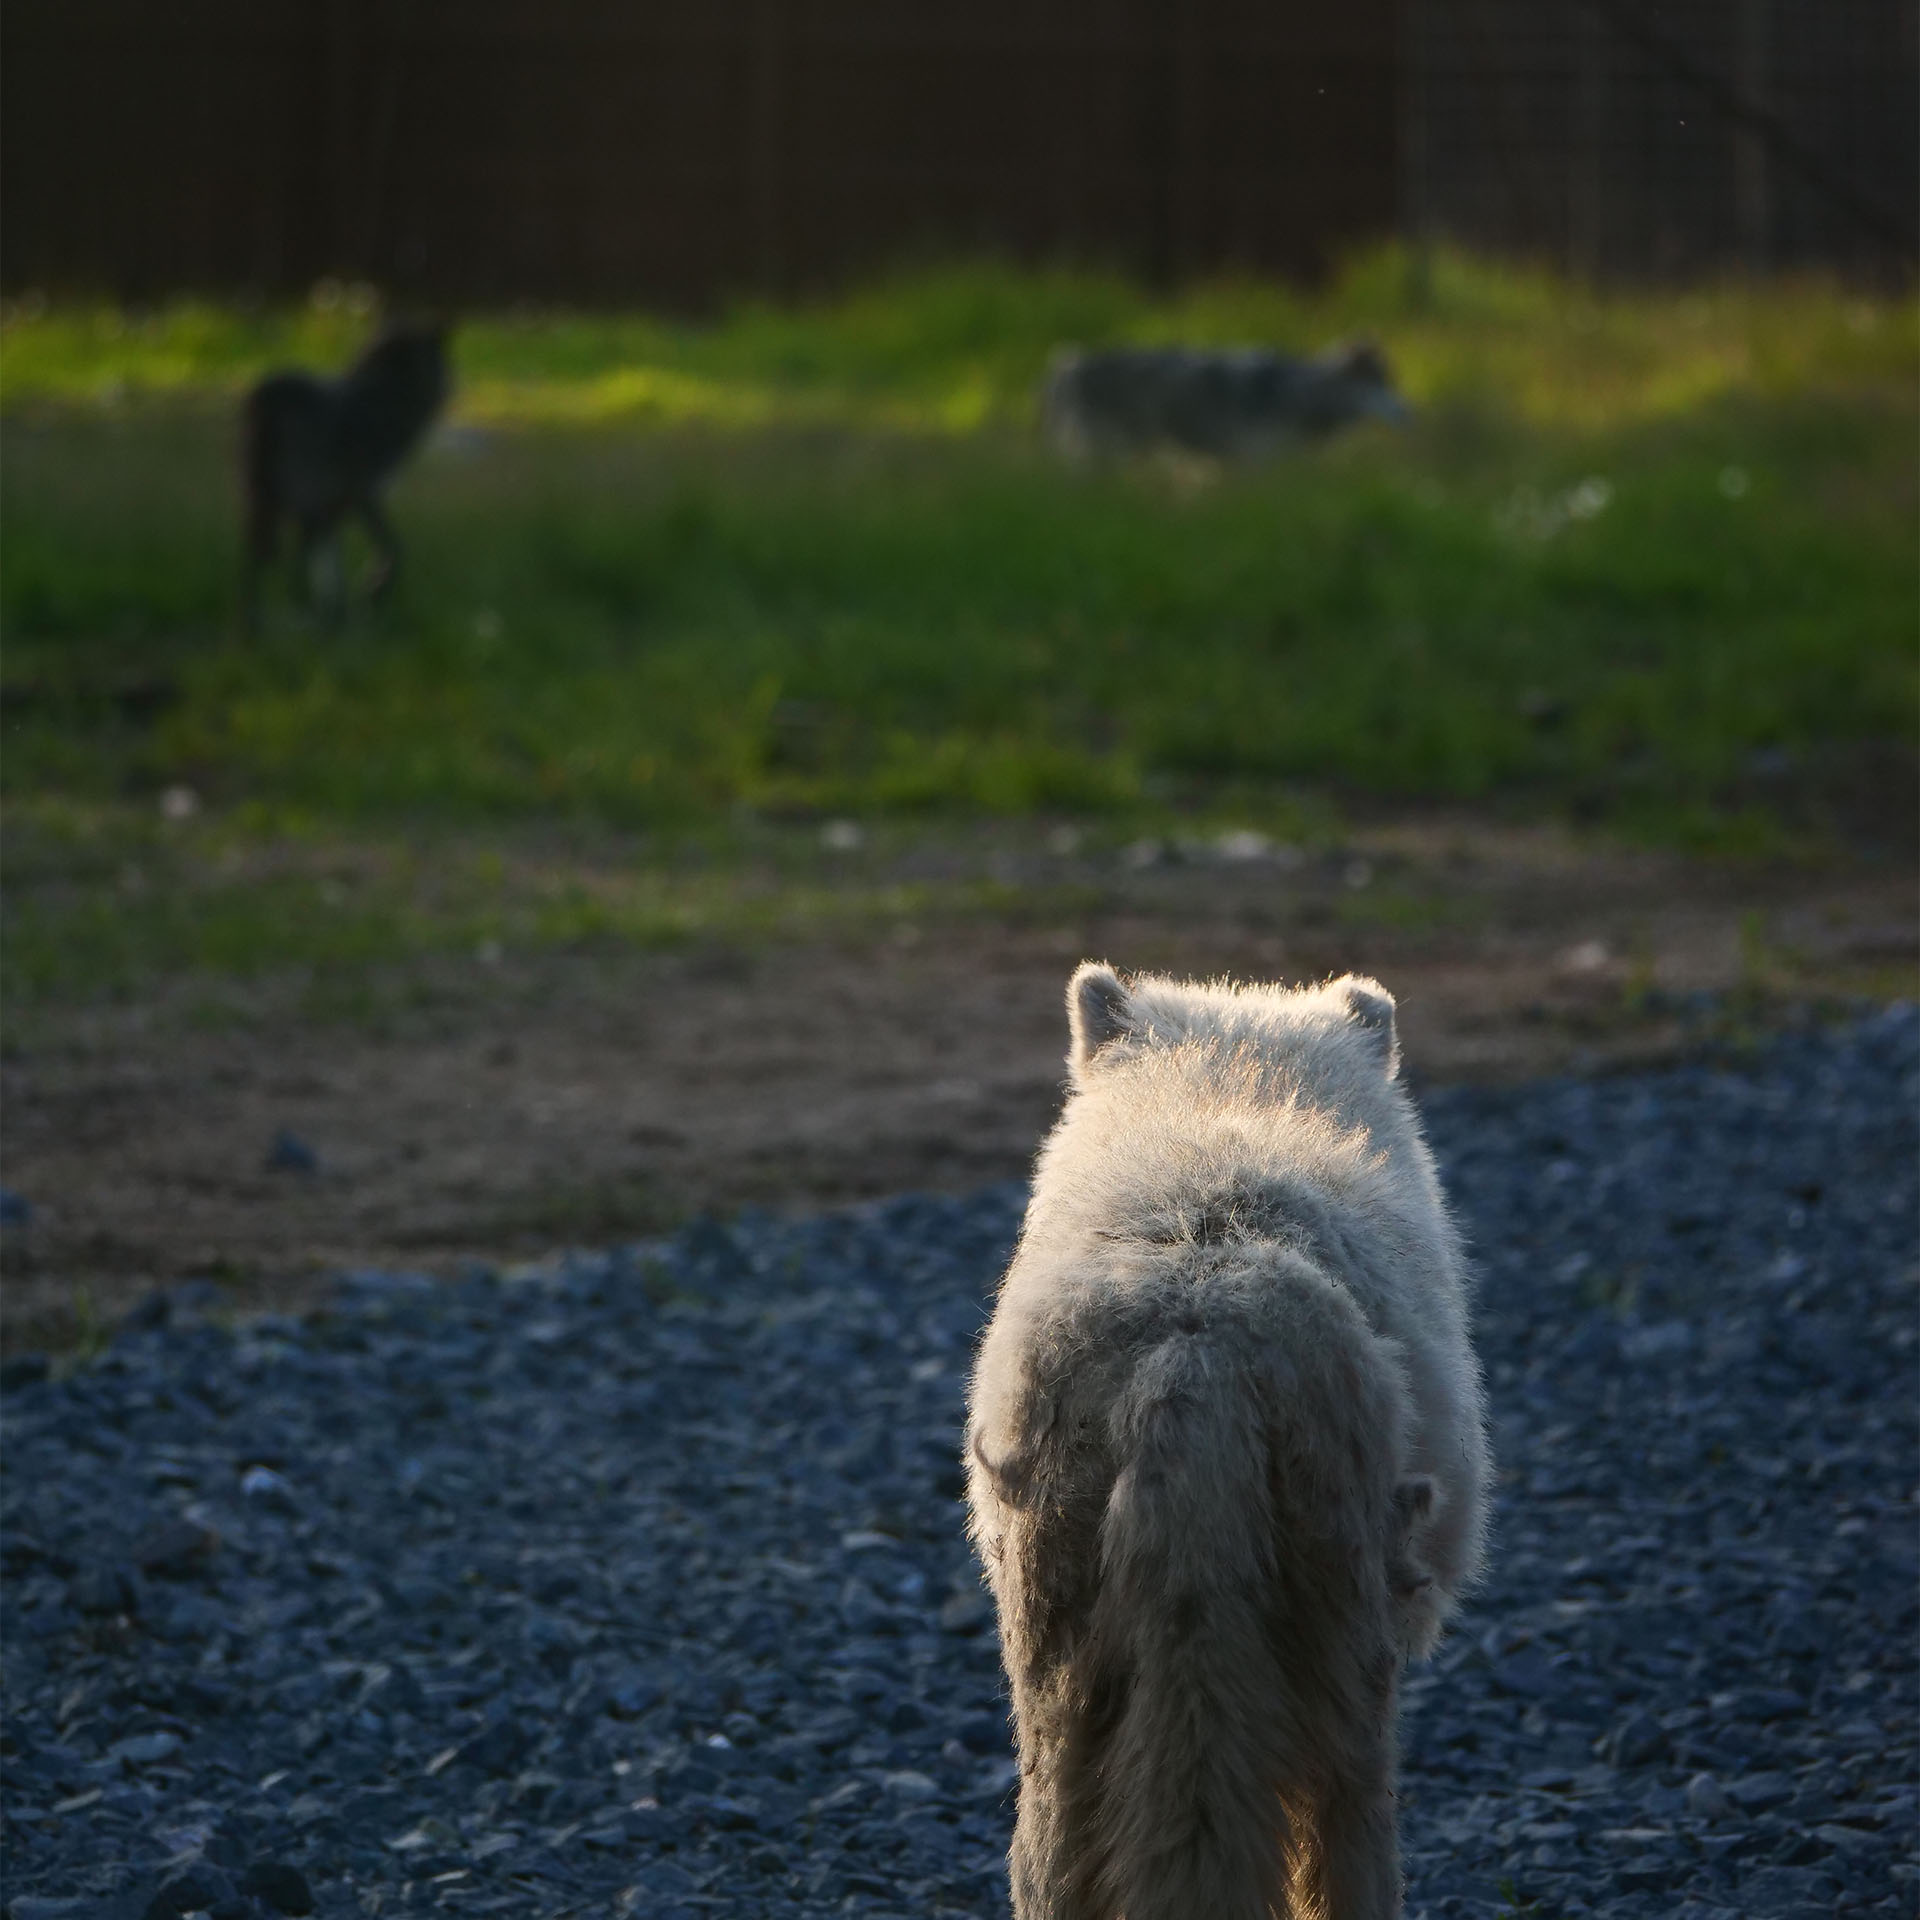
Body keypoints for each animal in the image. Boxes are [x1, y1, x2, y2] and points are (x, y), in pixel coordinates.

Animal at [240, 323, 450, 629]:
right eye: (440, 361)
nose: (448, 388)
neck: (384, 398)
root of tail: (268, 396)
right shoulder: (363, 495)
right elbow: (393, 549)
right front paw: (371, 593)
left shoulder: (333, 509)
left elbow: (331, 569)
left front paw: (337, 616)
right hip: (295, 500)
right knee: (289, 560)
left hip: (263, 500)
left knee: (258, 561)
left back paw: (254, 625)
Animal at [966, 965, 1489, 1920]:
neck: (1223, 1098)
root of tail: (1191, 1357)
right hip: (1344, 1621)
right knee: (1347, 1832)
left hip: (1054, 1647)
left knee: (1050, 1850)